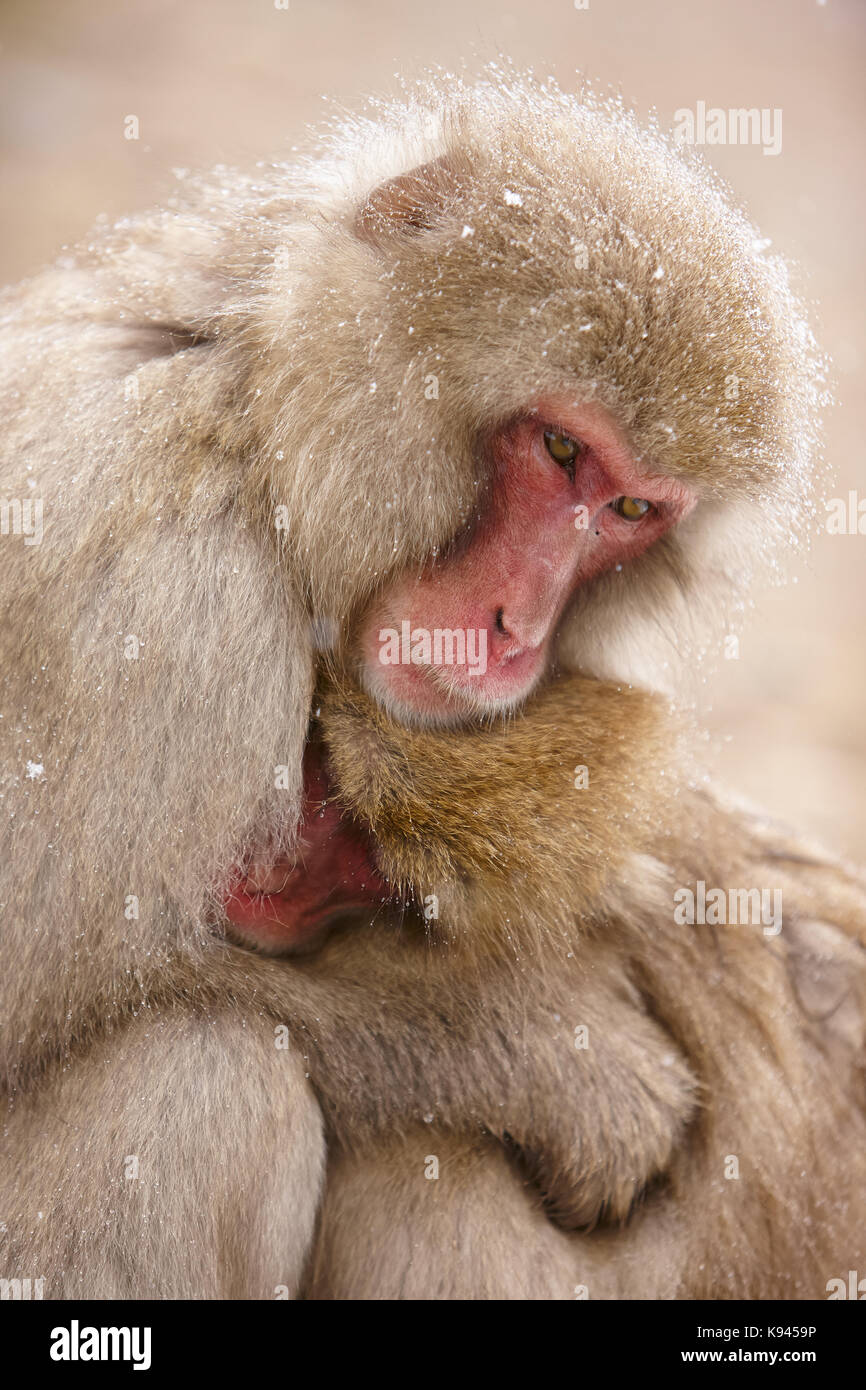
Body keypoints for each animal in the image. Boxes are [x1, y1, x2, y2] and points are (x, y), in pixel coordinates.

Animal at [0, 69, 859, 1299]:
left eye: (630, 510)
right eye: (559, 449)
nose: (515, 626)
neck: (254, 419)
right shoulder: (170, 617)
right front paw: (560, 1066)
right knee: (208, 1075)